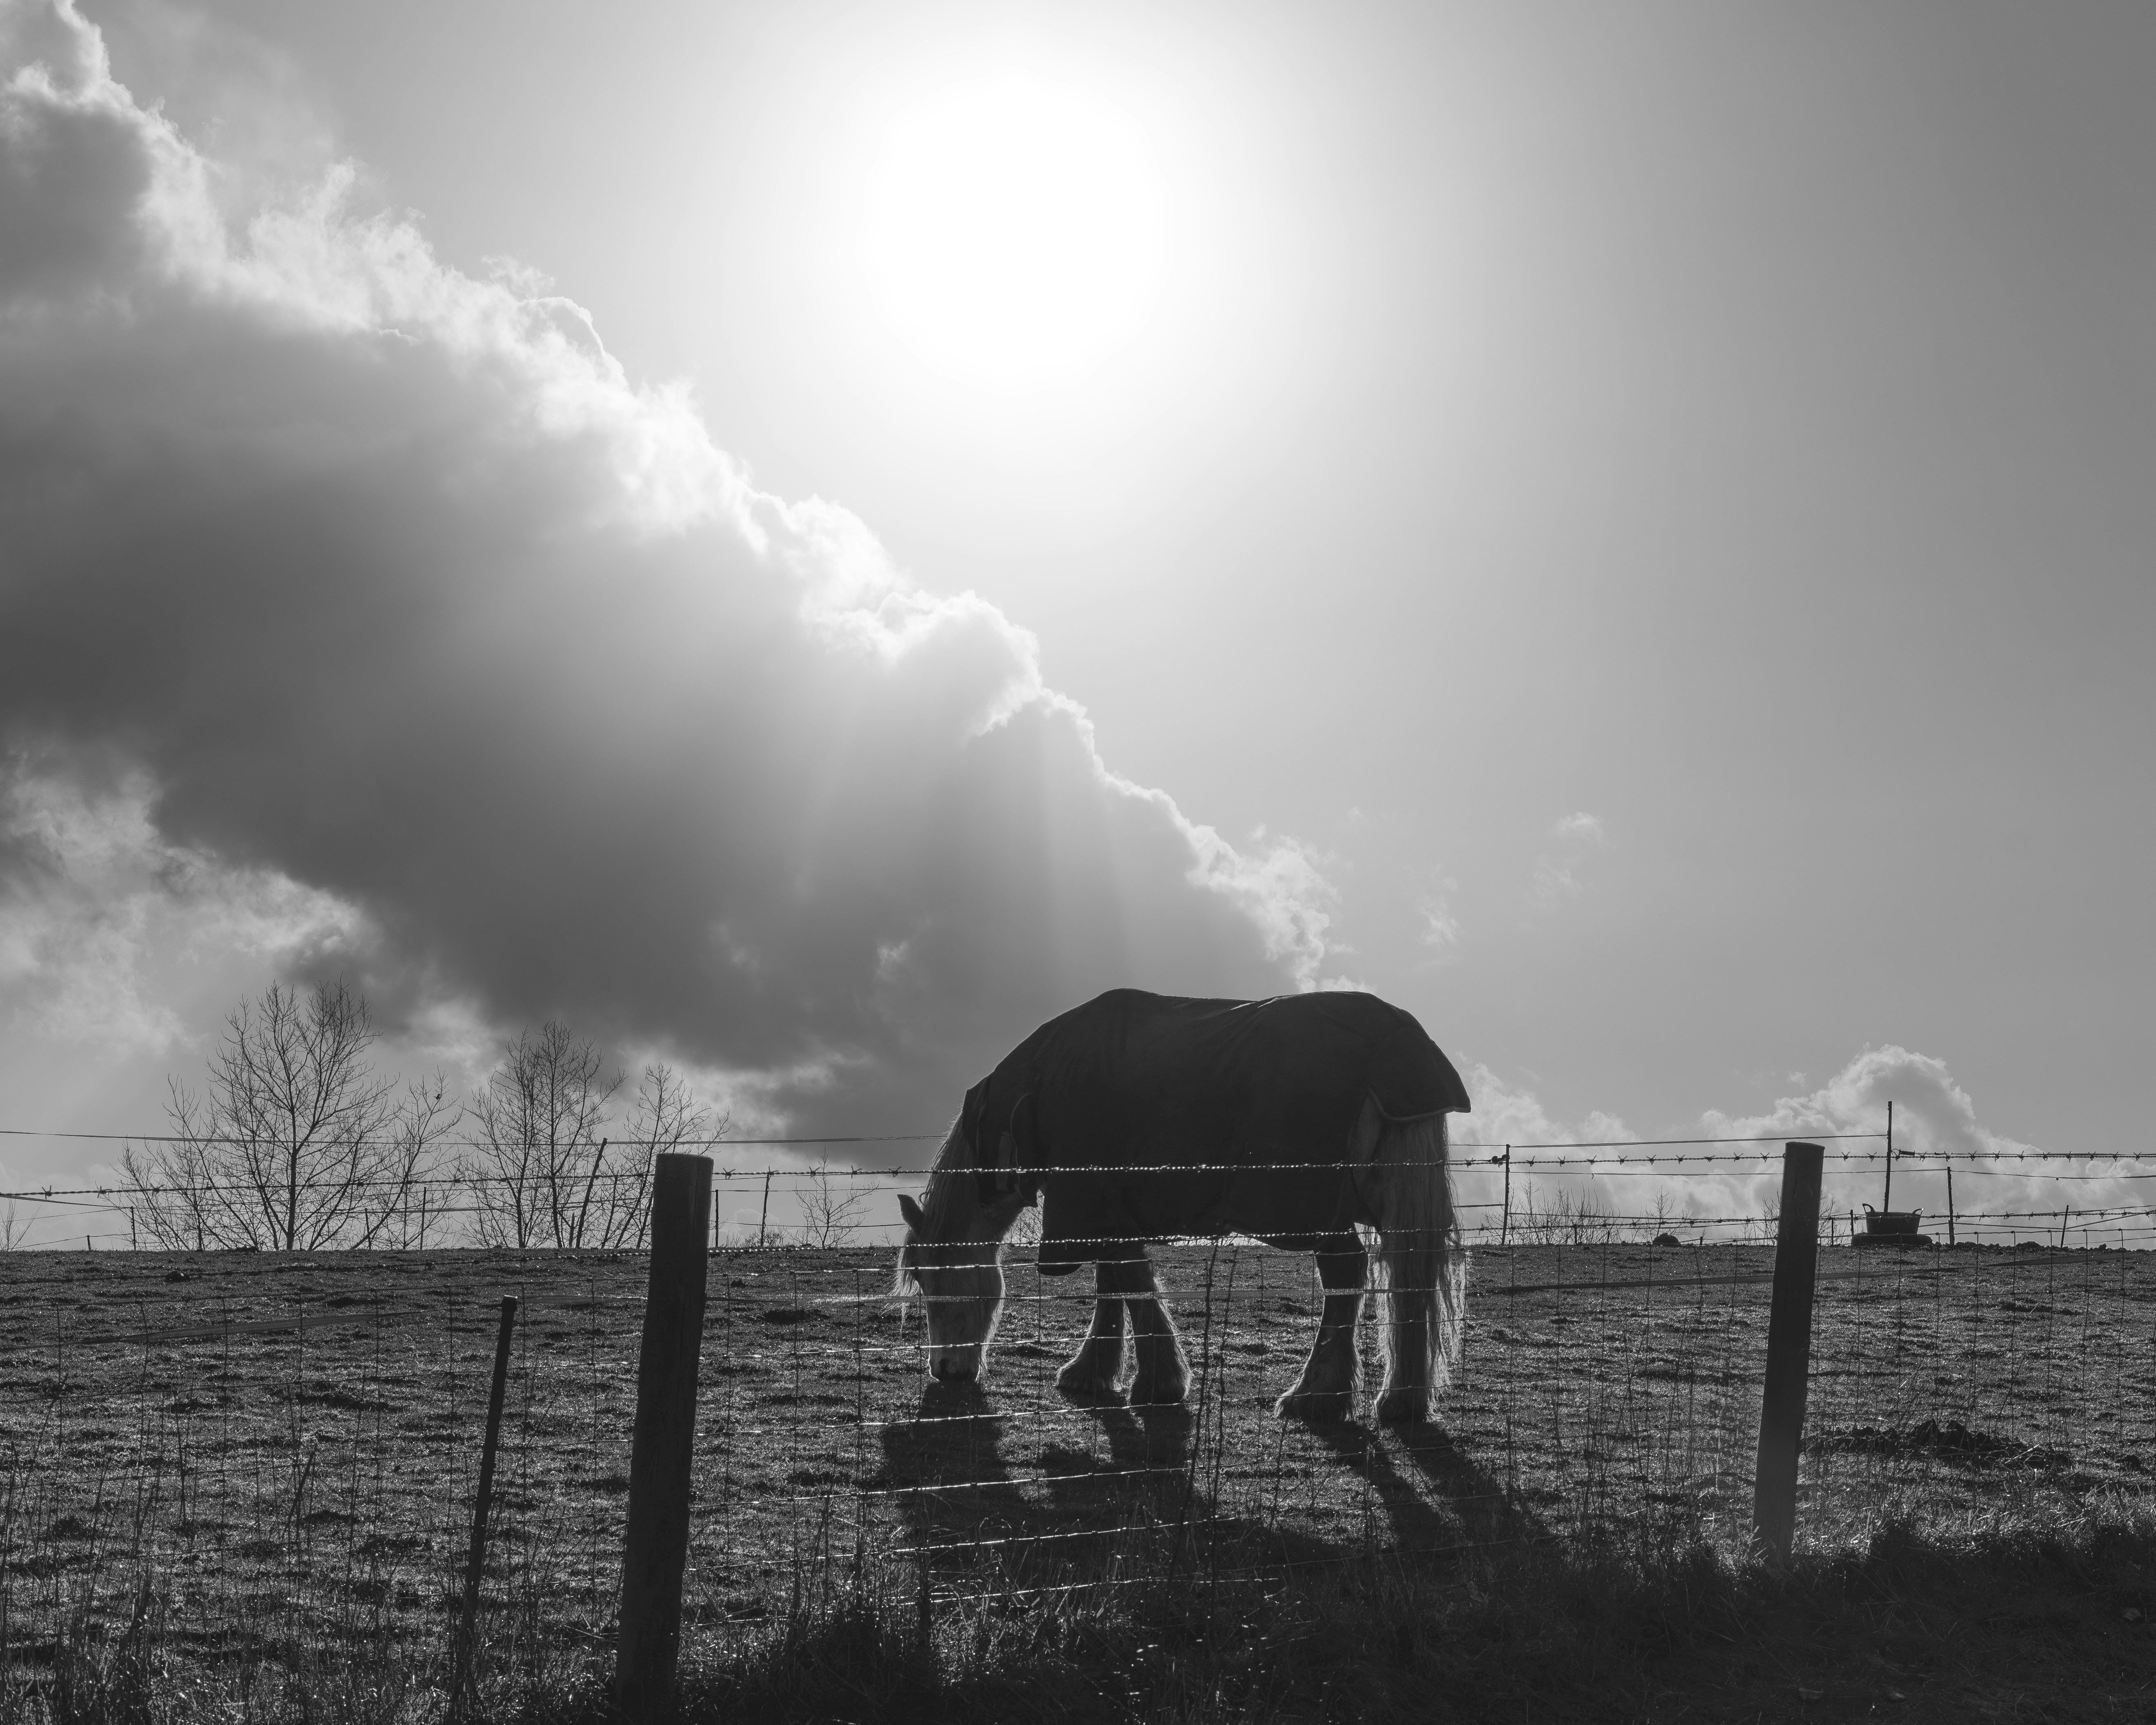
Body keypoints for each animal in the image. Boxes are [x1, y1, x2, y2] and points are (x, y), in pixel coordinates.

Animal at [895, 988, 1471, 1423]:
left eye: (928, 1276)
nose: (944, 1370)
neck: (1038, 1091)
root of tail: (1394, 1037)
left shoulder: (1093, 1199)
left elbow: (1131, 1281)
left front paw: (1159, 1381)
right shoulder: (1103, 1207)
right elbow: (1113, 1282)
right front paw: (1092, 1372)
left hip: (1306, 1209)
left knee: (1346, 1273)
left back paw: (1315, 1395)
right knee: (1407, 1278)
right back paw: (1401, 1400)